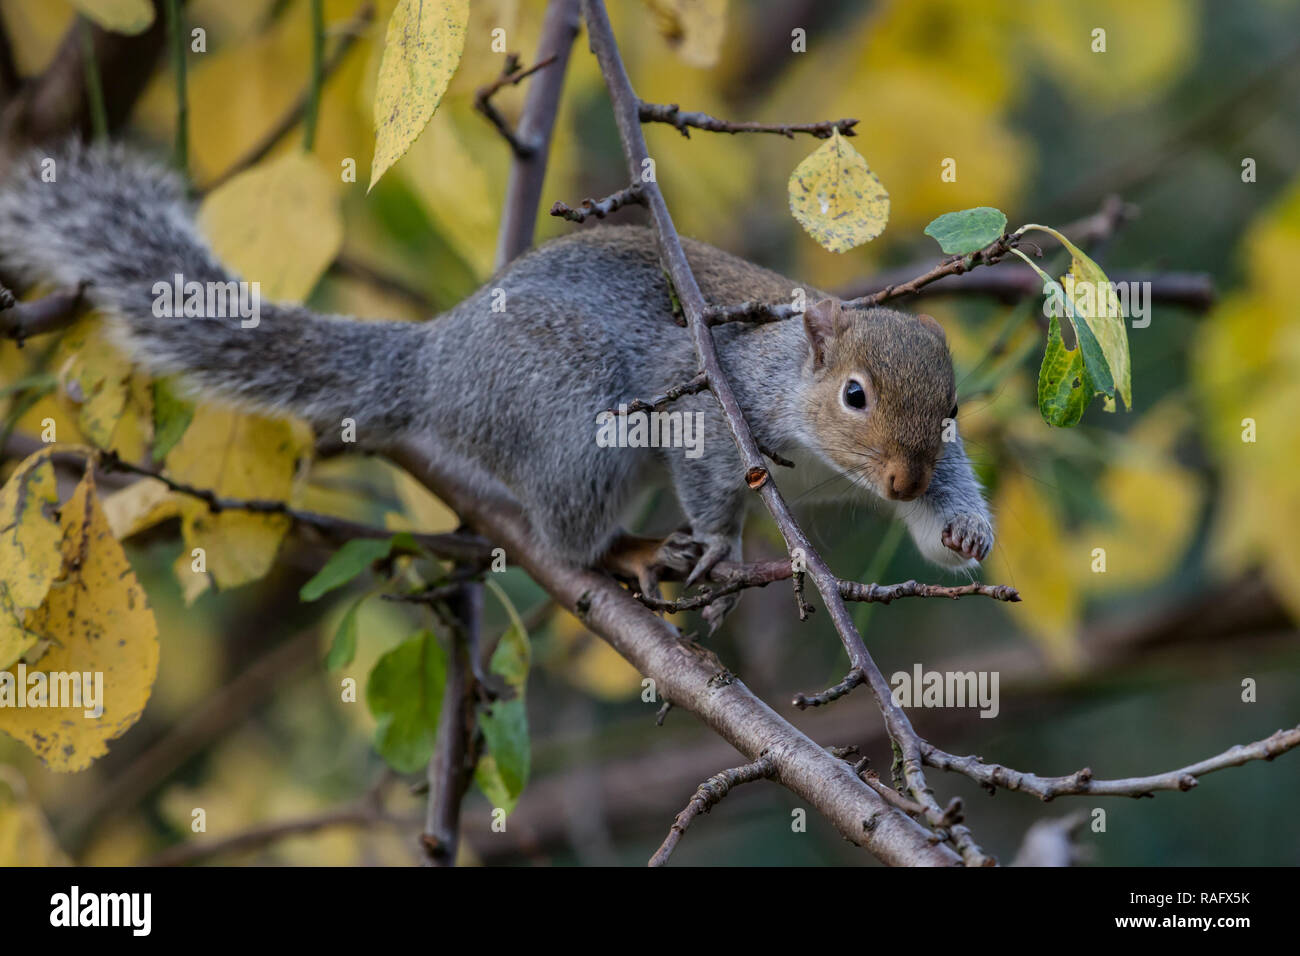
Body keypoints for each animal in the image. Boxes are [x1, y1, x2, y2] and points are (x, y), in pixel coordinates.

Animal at [0, 142, 992, 623]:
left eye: (950, 410)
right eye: (855, 396)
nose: (901, 478)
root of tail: (434, 362)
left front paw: (960, 530)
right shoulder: (714, 396)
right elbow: (712, 472)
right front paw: (718, 543)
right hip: (570, 419)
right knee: (563, 533)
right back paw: (626, 550)